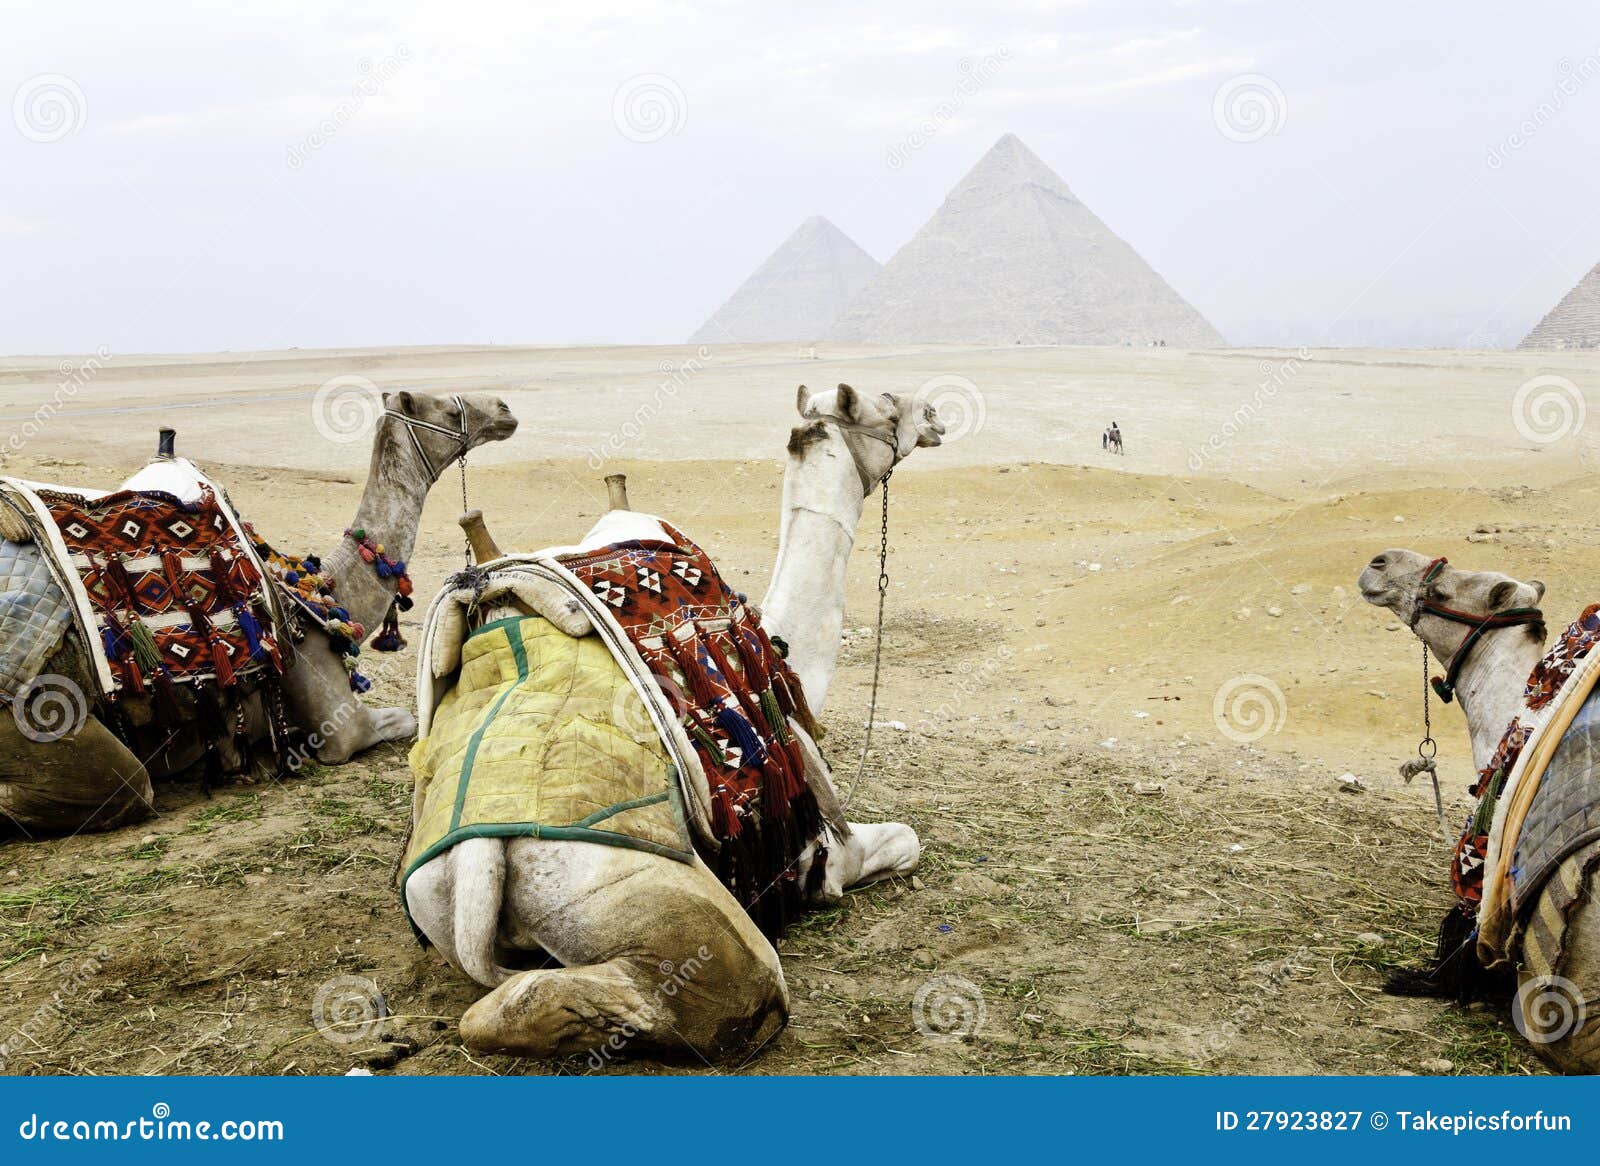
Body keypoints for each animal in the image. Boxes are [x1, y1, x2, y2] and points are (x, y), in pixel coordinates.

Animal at [0, 391, 516, 833]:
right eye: (446, 409)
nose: (504, 409)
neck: (320, 596)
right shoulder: (335, 716)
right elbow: (395, 725)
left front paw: (244, 759)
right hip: (40, 710)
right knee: (118, 787)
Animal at [404, 383, 945, 1063]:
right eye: (888, 404)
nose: (935, 416)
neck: (777, 650)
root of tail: (478, 859)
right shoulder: (824, 842)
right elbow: (905, 842)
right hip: (647, 908)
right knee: (737, 997)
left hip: (438, 901)